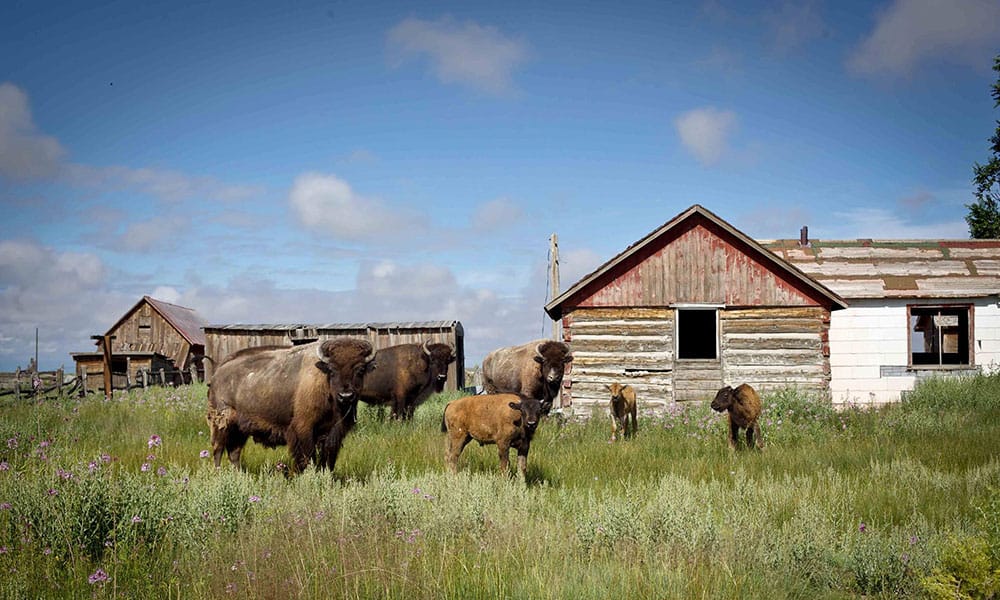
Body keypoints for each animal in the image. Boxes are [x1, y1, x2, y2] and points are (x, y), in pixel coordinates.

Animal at [206, 338, 375, 473]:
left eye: (361, 369)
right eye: (332, 369)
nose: (346, 396)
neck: (324, 380)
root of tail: (217, 373)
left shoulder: (333, 432)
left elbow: (327, 458)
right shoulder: (304, 428)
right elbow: (307, 457)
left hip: (240, 429)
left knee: (234, 452)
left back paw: (239, 475)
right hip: (221, 424)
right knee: (218, 449)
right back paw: (219, 474)